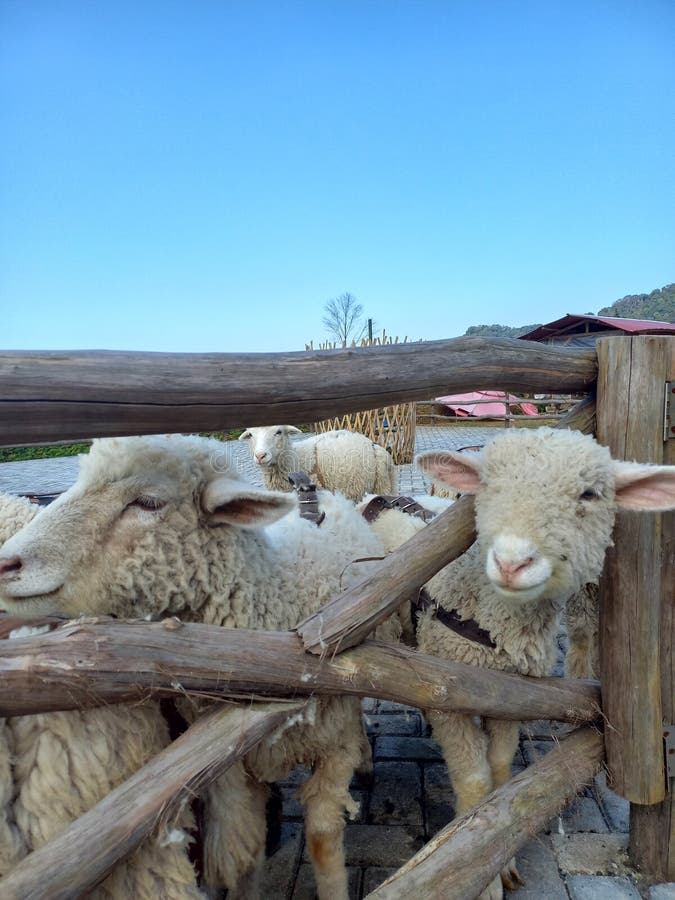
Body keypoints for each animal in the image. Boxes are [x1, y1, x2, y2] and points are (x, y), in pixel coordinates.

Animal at [413, 427, 675, 899]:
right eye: (488, 484)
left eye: (589, 494)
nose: (511, 562)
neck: (491, 625)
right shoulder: (443, 693)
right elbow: (474, 777)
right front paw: (479, 876)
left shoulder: (508, 697)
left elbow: (500, 768)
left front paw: (500, 860)